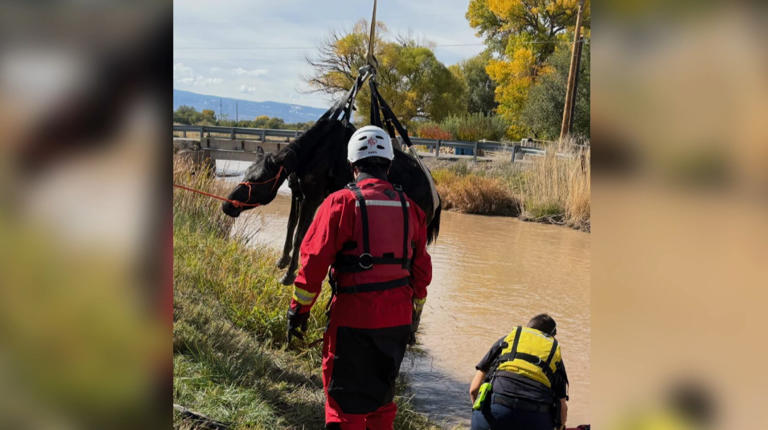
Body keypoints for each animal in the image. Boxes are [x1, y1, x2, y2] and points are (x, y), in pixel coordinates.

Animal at [221, 117, 441, 285]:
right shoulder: (298, 193)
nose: (226, 204)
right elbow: (290, 227)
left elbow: (300, 235)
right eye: (247, 172)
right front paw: (283, 261)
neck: (306, 156)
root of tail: (436, 196)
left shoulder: (313, 196)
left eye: (258, 178)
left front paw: (290, 275)